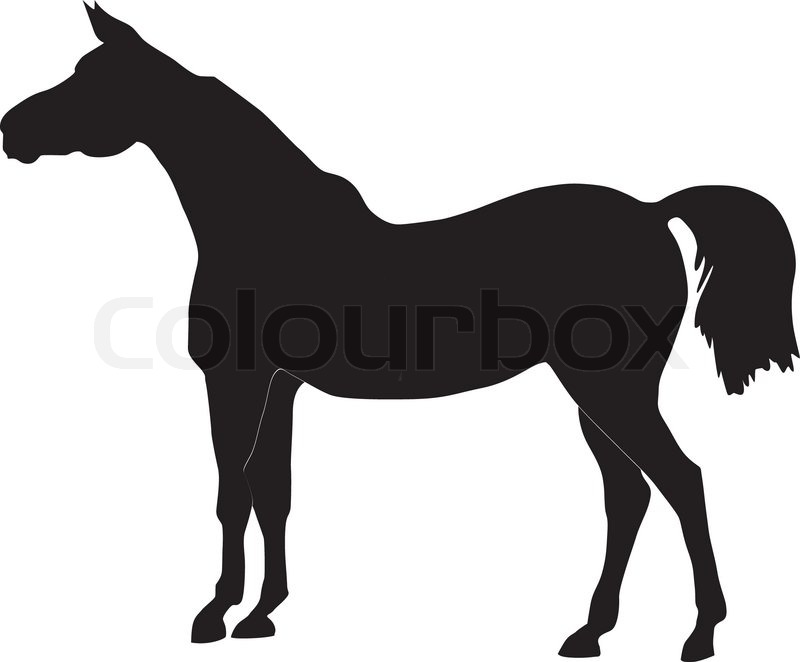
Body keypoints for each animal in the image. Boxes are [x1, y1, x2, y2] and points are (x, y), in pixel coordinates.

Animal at [2, 5, 797, 660]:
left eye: (92, 82)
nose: (13, 130)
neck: (264, 222)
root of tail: (653, 210)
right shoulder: (281, 388)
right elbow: (272, 489)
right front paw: (262, 614)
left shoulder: (236, 380)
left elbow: (232, 491)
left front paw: (213, 614)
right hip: (594, 394)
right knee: (629, 495)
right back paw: (589, 632)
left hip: (611, 389)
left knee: (681, 481)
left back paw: (699, 634)